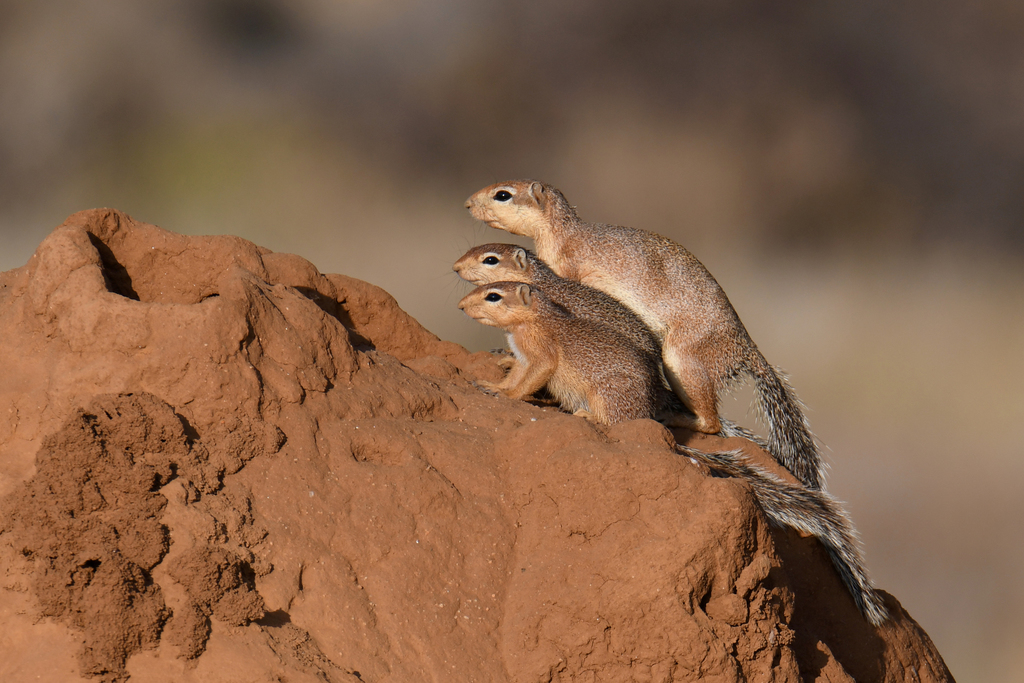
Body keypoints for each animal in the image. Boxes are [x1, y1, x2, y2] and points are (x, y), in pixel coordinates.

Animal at [457, 280, 887, 625]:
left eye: (494, 296)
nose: (461, 306)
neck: (535, 318)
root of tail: (647, 420)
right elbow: (519, 374)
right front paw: (495, 376)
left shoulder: (541, 353)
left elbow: (530, 379)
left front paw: (500, 391)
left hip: (608, 397)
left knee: (611, 421)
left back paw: (587, 416)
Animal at [465, 180, 825, 491]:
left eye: (503, 194)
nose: (468, 203)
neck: (565, 233)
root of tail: (745, 348)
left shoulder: (570, 273)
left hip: (682, 361)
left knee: (712, 422)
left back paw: (675, 417)